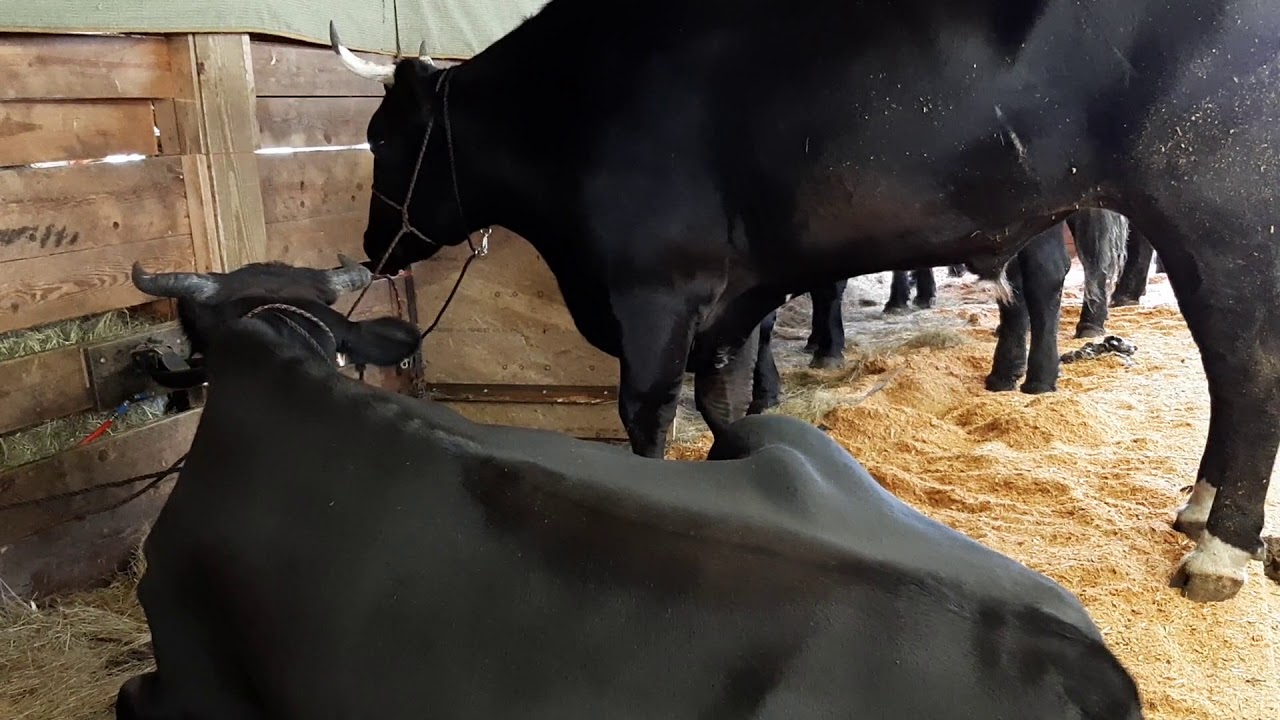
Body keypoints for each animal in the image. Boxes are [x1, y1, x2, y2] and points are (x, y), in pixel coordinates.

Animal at [329, 0, 1280, 603]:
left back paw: (1220, 550)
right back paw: (1196, 505)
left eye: (382, 136)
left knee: (1248, 365)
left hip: (1221, 213)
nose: (375, 247)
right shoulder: (727, 297)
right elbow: (721, 398)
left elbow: (648, 410)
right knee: (1217, 365)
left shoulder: (654, 289)